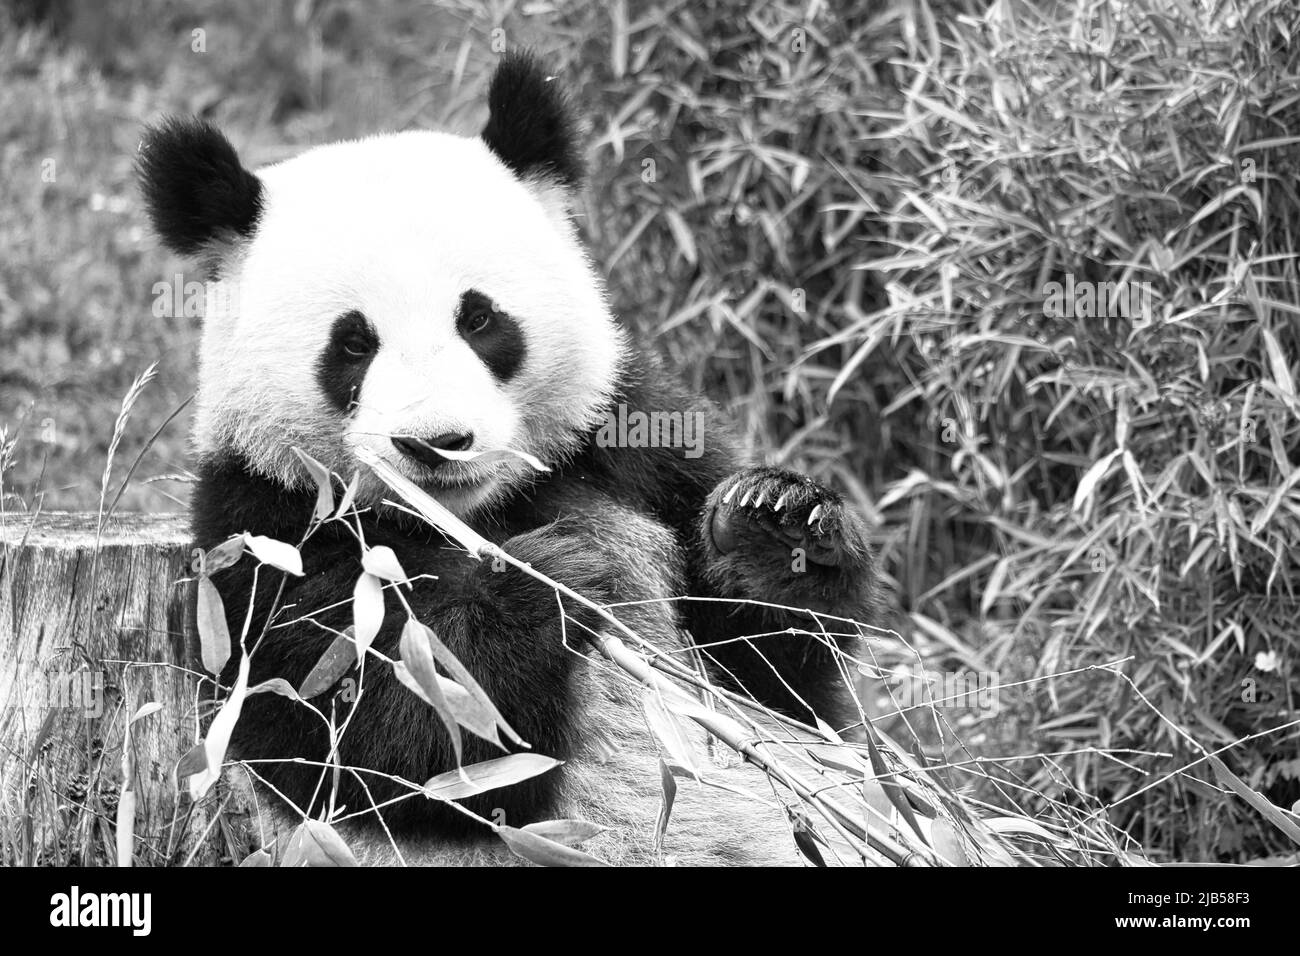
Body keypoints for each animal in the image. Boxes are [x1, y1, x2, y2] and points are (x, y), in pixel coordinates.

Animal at [137, 52, 879, 865]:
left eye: (480, 318)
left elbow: (783, 687)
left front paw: (773, 525)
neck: (473, 512)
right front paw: (553, 578)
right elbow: (382, 723)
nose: (436, 441)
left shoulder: (628, 444)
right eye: (353, 344)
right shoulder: (260, 529)